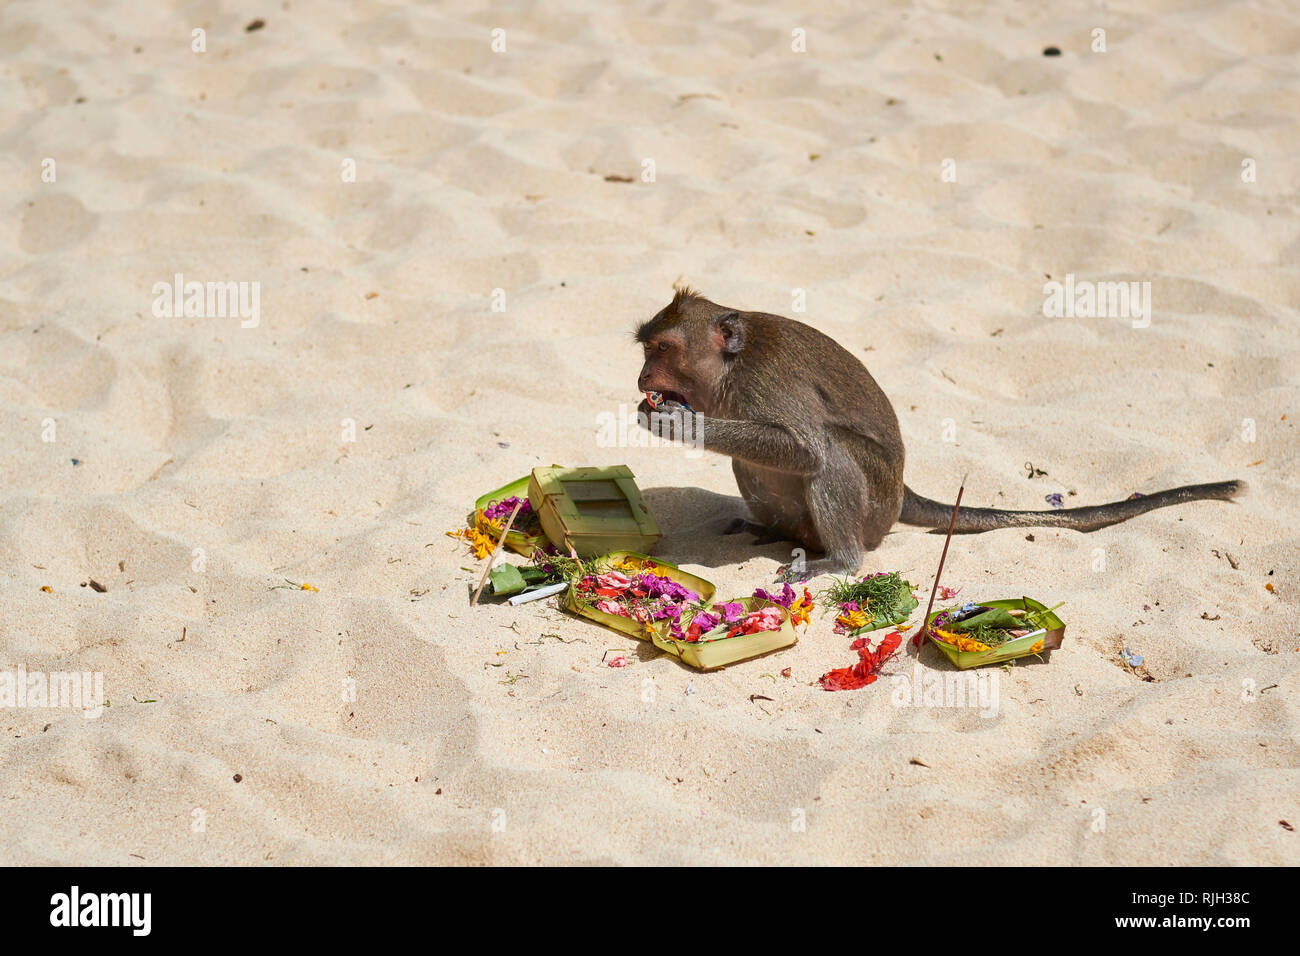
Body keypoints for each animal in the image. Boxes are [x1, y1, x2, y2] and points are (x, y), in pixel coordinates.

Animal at [634, 286, 1245, 580]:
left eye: (662, 349)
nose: (642, 379)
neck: (731, 369)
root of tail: (903, 490)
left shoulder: (764, 381)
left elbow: (804, 448)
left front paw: (678, 422)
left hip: (877, 507)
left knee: (831, 456)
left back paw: (840, 560)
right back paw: (778, 532)